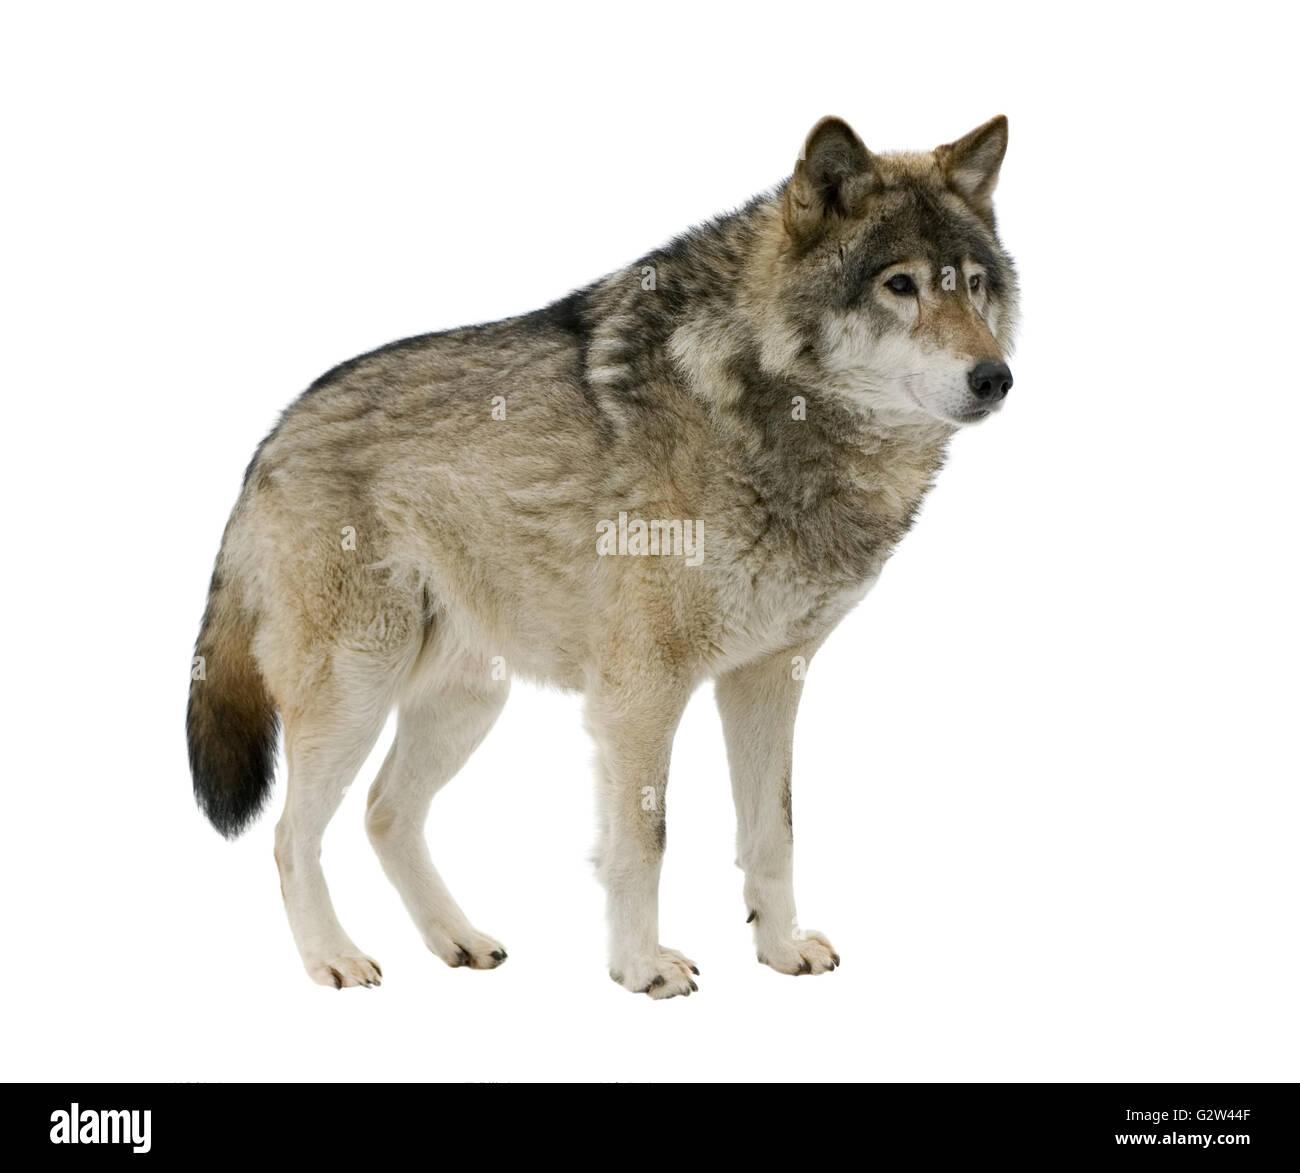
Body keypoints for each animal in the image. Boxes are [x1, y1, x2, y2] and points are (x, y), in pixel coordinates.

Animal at [187, 114, 1019, 998]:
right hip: (357, 690)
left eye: (972, 283)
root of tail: (270, 437)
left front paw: (781, 949)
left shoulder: (767, 678)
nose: (995, 377)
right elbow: (644, 841)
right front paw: (642, 967)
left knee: (384, 813)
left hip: (468, 703)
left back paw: (459, 938)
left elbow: (774, 831)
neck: (766, 404)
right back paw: (333, 957)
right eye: (900, 285)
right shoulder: (642, 690)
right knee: (290, 835)